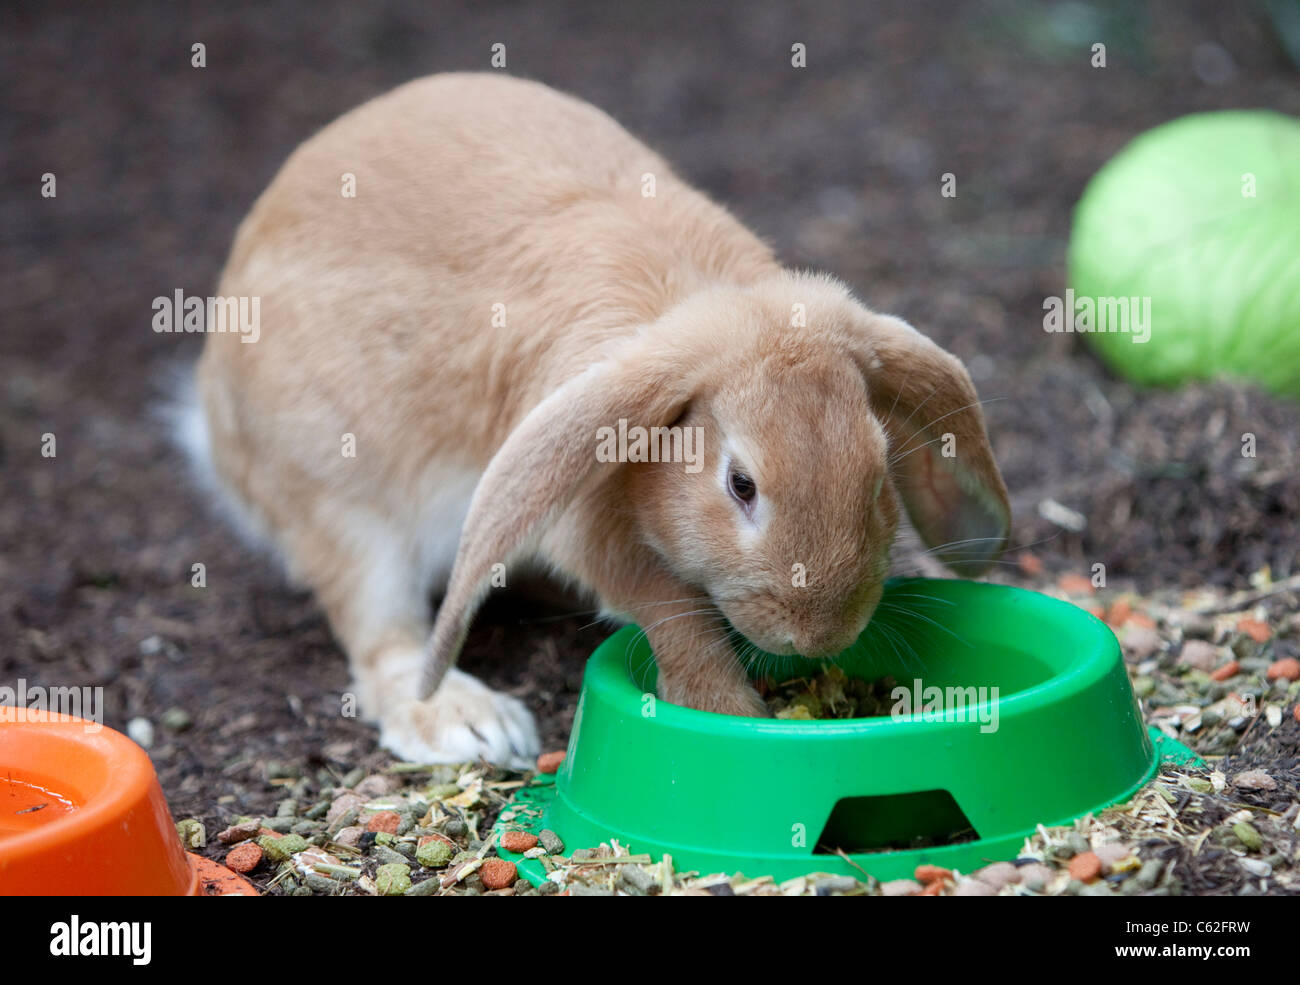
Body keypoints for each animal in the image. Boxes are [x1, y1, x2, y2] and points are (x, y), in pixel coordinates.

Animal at [184, 73, 1010, 767]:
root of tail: (214, 428)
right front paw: (725, 710)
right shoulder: (588, 515)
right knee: (382, 631)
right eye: (740, 485)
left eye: (876, 476)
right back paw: (469, 723)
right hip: (343, 503)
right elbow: (670, 610)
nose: (819, 635)